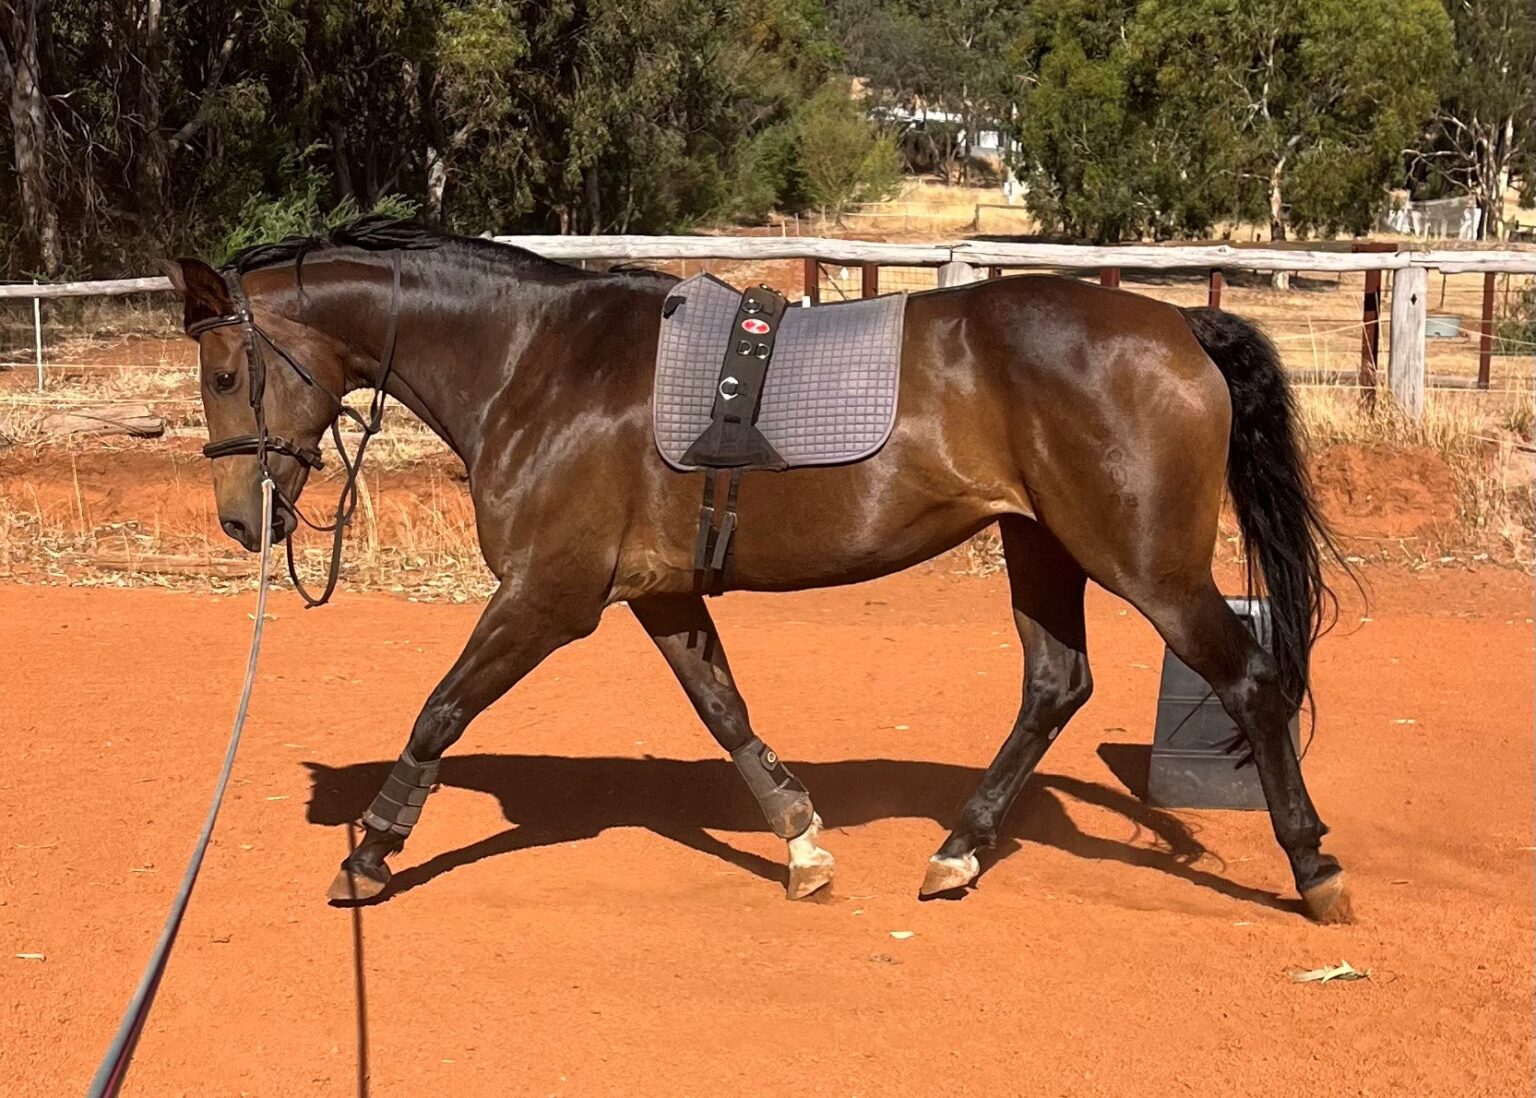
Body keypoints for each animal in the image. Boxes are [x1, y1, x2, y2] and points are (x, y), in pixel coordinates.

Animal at [163, 217, 1354, 923]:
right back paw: (957, 853)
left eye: (223, 373)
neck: (539, 365)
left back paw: (1315, 873)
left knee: (1250, 683)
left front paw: (369, 854)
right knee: (1056, 686)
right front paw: (802, 846)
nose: (239, 519)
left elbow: (440, 711)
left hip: (1145, 563)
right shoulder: (659, 593)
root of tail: (1181, 326)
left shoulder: (548, 597)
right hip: (1043, 545)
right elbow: (724, 710)